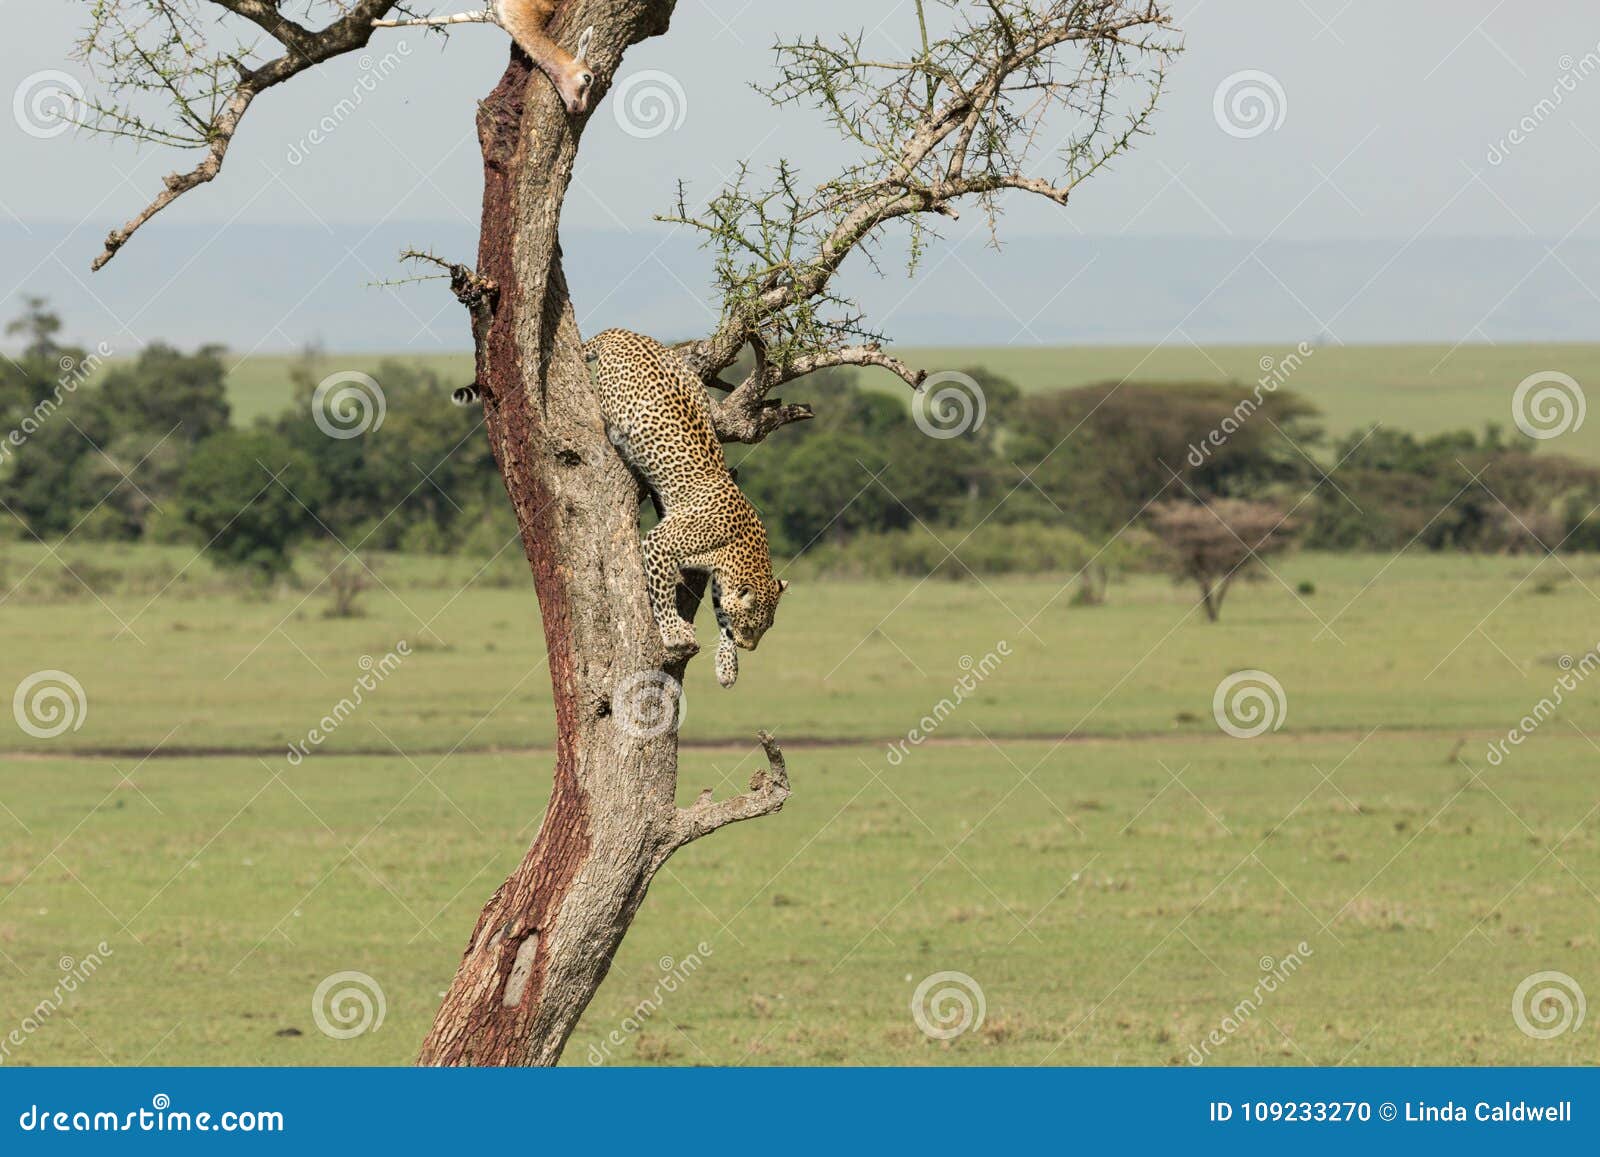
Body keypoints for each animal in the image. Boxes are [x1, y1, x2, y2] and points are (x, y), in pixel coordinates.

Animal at [583, 328, 787, 684]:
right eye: (752, 626)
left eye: (766, 627)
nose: (749, 647)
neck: (741, 547)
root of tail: (624, 332)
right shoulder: (660, 543)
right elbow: (663, 592)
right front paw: (674, 633)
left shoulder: (720, 576)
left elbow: (722, 614)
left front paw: (727, 664)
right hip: (615, 401)